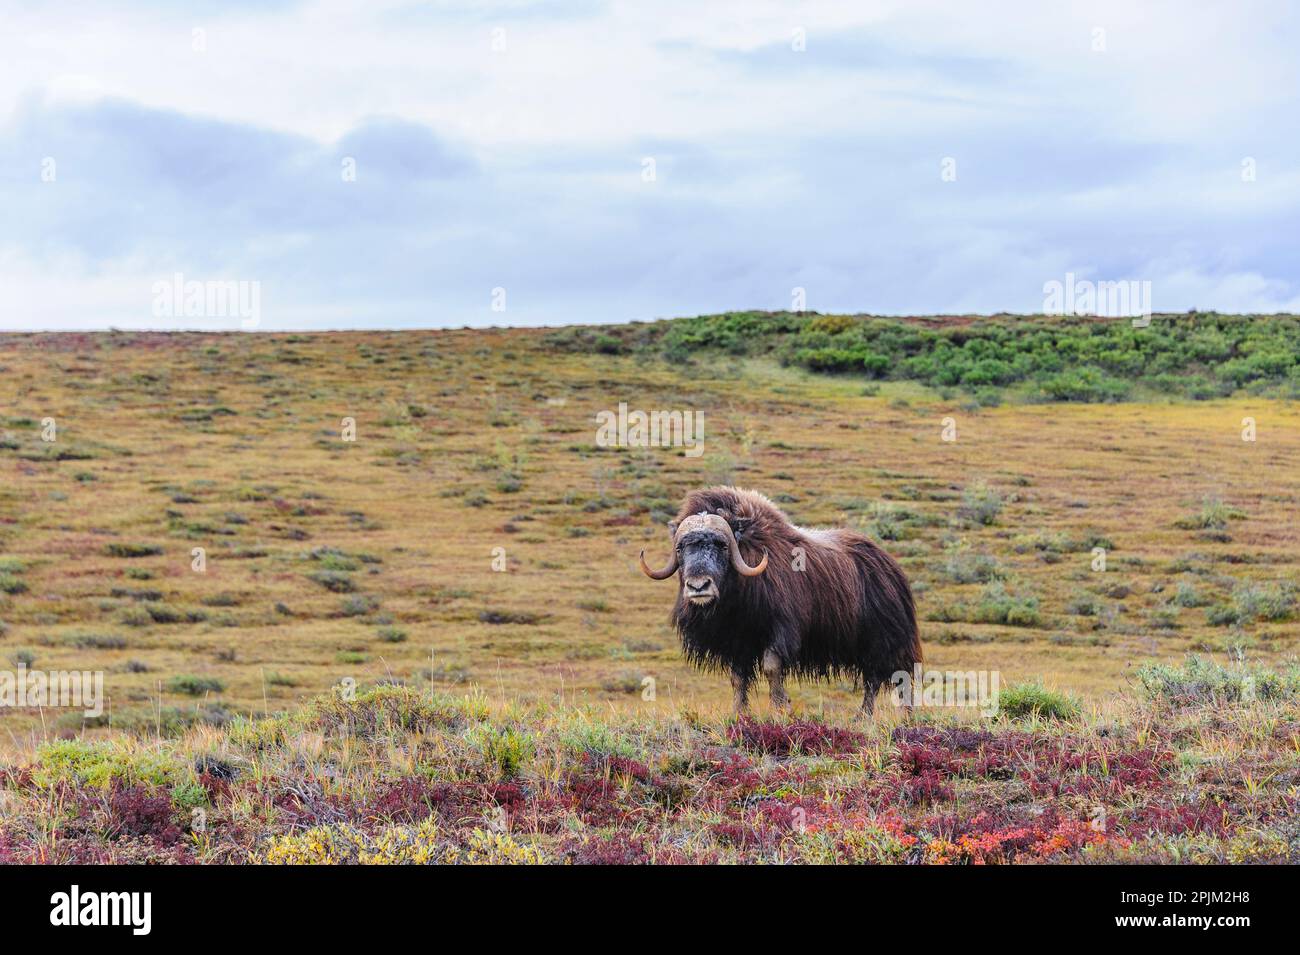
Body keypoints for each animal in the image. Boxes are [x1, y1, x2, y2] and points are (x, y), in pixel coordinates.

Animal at [639, 486, 921, 717]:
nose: (698, 587)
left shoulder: (781, 629)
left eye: (721, 544)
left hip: (884, 641)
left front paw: (780, 709)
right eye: (681, 548)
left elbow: (771, 667)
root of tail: (891, 566)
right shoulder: (736, 641)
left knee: (888, 678)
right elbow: (737, 677)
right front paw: (739, 714)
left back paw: (884, 717)